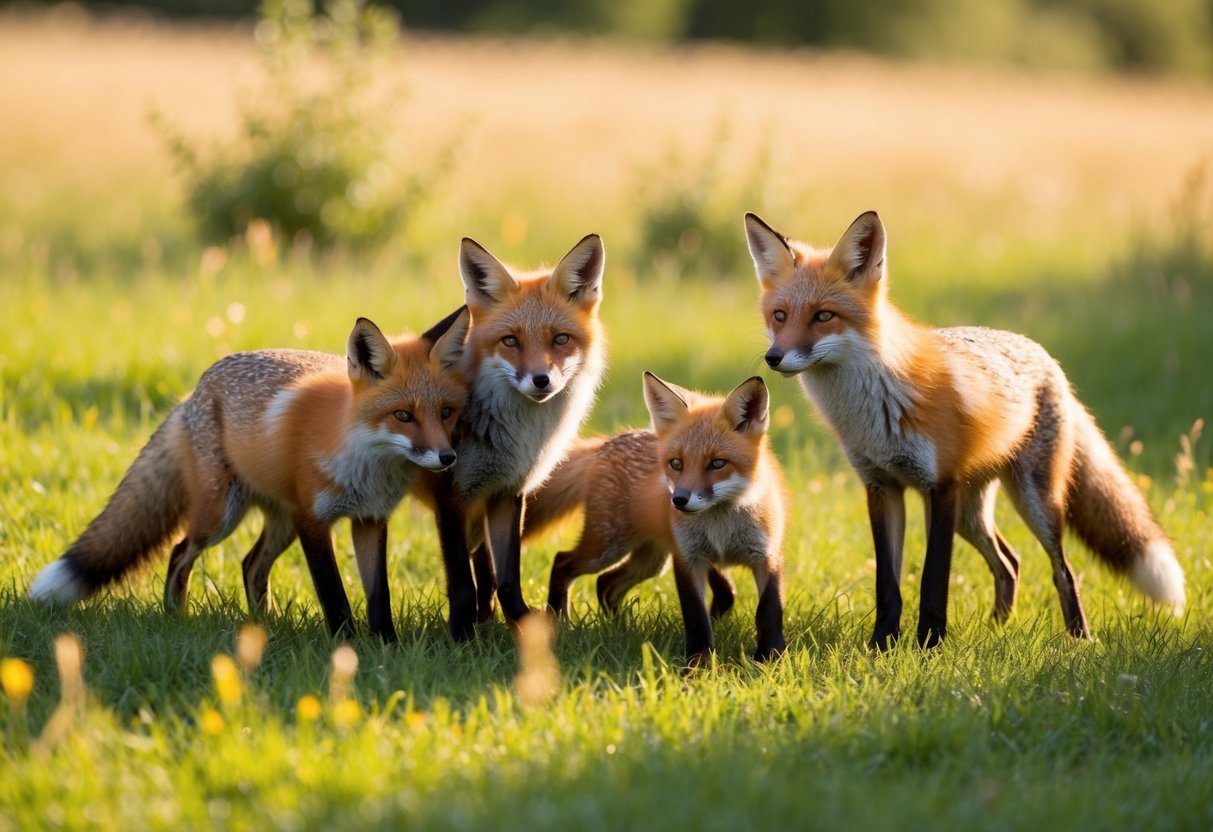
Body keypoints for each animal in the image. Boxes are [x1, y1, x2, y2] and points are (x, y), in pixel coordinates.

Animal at [29, 308, 472, 642]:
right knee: (180, 551)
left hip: (280, 523)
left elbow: (379, 594)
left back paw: (265, 624)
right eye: (403, 415)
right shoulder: (313, 522)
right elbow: (333, 594)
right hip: (221, 516)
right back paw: (176, 616)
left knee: (250, 564)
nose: (447, 457)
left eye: (446, 412)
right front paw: (347, 647)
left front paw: (386, 647)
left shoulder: (369, 519)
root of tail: (192, 394)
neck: (365, 465)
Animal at [409, 234, 606, 641]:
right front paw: (460, 636)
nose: (541, 380)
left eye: (561, 339)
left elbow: (508, 577)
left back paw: (487, 617)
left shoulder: (508, 493)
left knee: (485, 568)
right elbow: (461, 583)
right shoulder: (451, 499)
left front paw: (523, 627)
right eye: (510, 341)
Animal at [525, 372, 787, 664]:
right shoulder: (688, 559)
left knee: (606, 583)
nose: (679, 500)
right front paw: (698, 665)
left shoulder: (766, 557)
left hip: (649, 561)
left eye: (717, 463)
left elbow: (769, 610)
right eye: (676, 463)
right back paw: (560, 619)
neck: (721, 526)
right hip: (608, 548)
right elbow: (697, 618)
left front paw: (770, 657)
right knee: (563, 562)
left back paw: (620, 626)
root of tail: (607, 443)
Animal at [743, 210, 1186, 650]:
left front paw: (928, 646)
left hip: (1034, 502)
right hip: (971, 516)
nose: (773, 358)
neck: (873, 409)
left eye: (823, 315)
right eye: (780, 316)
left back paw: (1078, 638)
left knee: (1064, 571)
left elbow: (933, 580)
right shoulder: (882, 488)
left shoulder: (941, 487)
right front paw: (882, 645)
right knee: (1010, 563)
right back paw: (997, 628)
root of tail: (1045, 356)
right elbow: (888, 585)